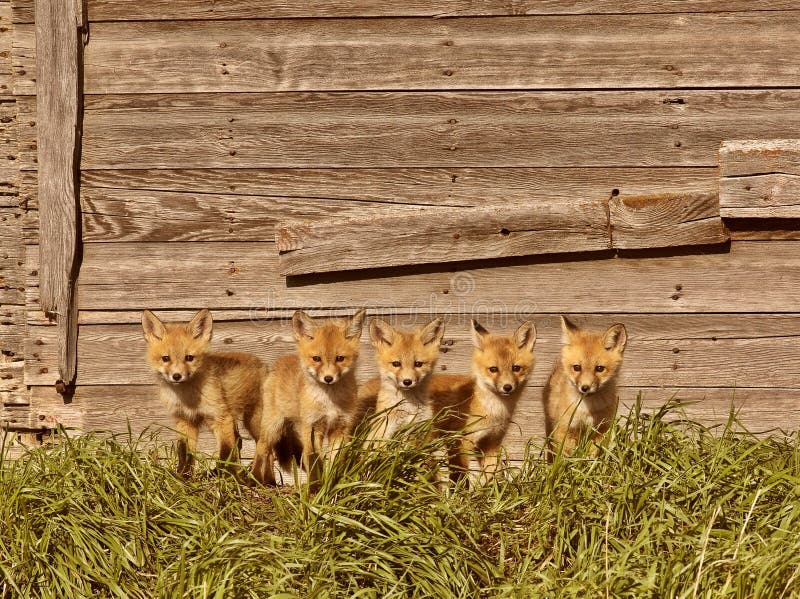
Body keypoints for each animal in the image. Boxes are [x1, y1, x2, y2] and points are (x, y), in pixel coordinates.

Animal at [141, 309, 268, 477]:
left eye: (189, 357)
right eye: (165, 358)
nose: (177, 376)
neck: (188, 398)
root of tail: (262, 363)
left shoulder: (220, 417)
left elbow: (225, 452)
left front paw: (226, 477)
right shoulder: (184, 420)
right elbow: (185, 453)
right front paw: (183, 476)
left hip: (253, 421)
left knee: (264, 446)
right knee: (239, 441)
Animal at [253, 309, 366, 487]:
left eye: (340, 358)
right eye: (317, 359)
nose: (328, 378)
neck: (329, 402)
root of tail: (280, 361)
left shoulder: (341, 428)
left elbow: (334, 461)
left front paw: (331, 484)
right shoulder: (312, 427)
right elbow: (314, 462)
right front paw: (315, 488)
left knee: (272, 453)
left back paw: (270, 482)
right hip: (273, 426)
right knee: (262, 448)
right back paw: (254, 480)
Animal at [428, 319, 536, 483]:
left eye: (516, 368)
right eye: (493, 369)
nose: (507, 387)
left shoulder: (490, 443)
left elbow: (495, 476)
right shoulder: (460, 442)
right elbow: (460, 479)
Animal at [542, 316, 627, 462]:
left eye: (599, 368)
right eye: (577, 367)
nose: (585, 387)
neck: (588, 409)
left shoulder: (601, 430)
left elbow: (591, 458)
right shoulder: (566, 429)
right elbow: (567, 458)